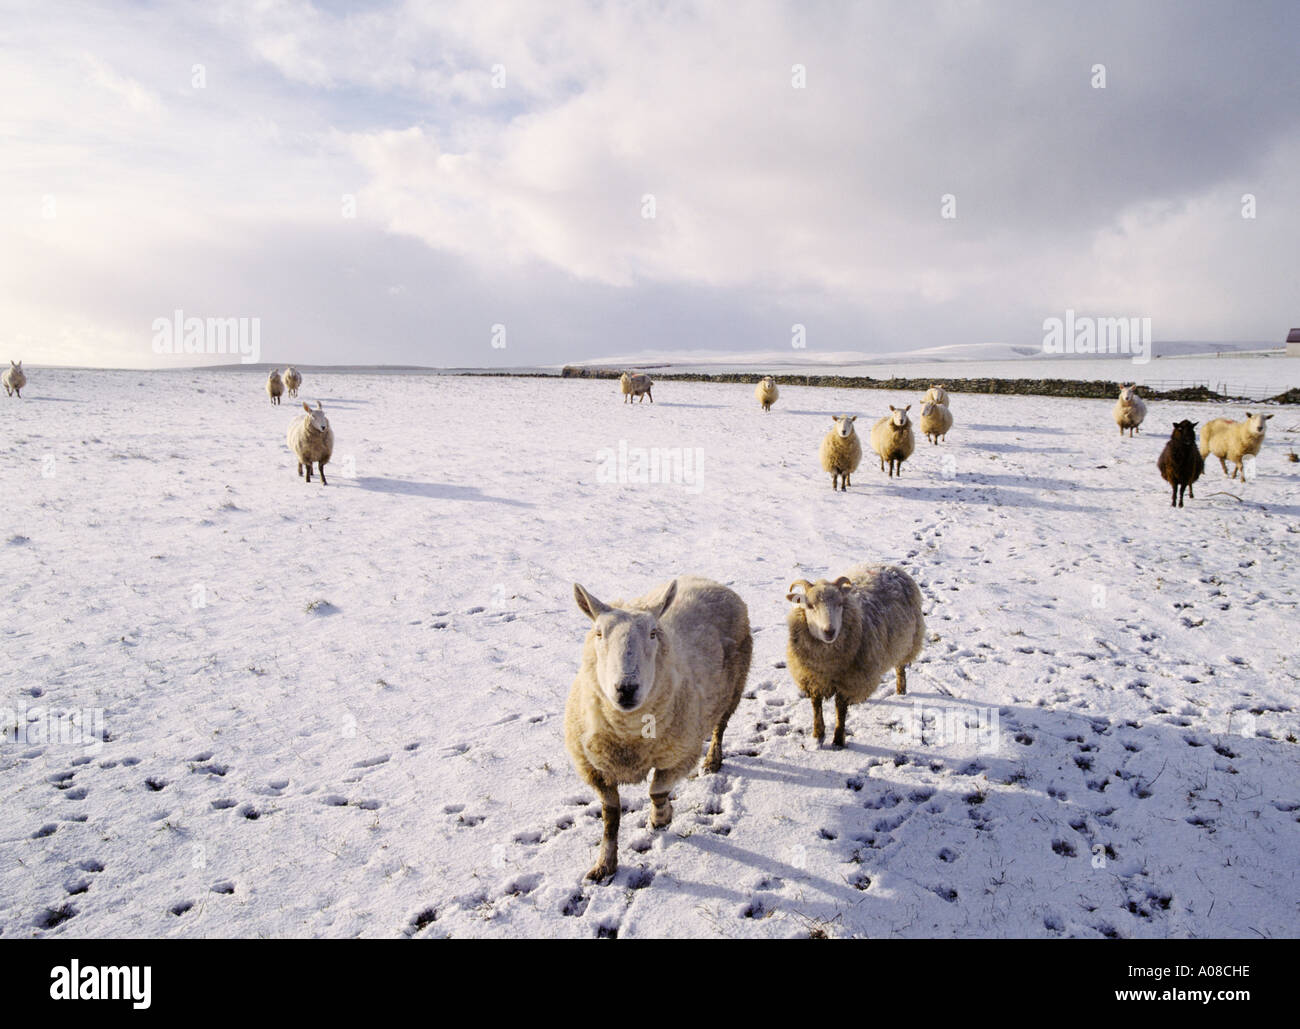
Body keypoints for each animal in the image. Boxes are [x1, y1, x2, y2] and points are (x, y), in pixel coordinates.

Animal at [565, 576, 752, 880]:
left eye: (653, 633)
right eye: (598, 633)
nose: (626, 688)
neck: (629, 734)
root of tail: (710, 581)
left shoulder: (679, 754)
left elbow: (657, 791)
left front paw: (661, 817)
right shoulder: (595, 769)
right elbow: (610, 817)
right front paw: (605, 864)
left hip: (733, 689)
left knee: (720, 727)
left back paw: (713, 759)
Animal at [785, 564, 925, 748]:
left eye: (840, 603)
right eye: (809, 605)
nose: (829, 631)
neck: (827, 664)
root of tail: (891, 567)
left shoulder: (850, 681)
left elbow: (841, 710)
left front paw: (838, 740)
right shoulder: (812, 678)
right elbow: (816, 706)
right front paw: (817, 735)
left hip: (906, 643)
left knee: (900, 668)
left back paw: (901, 691)